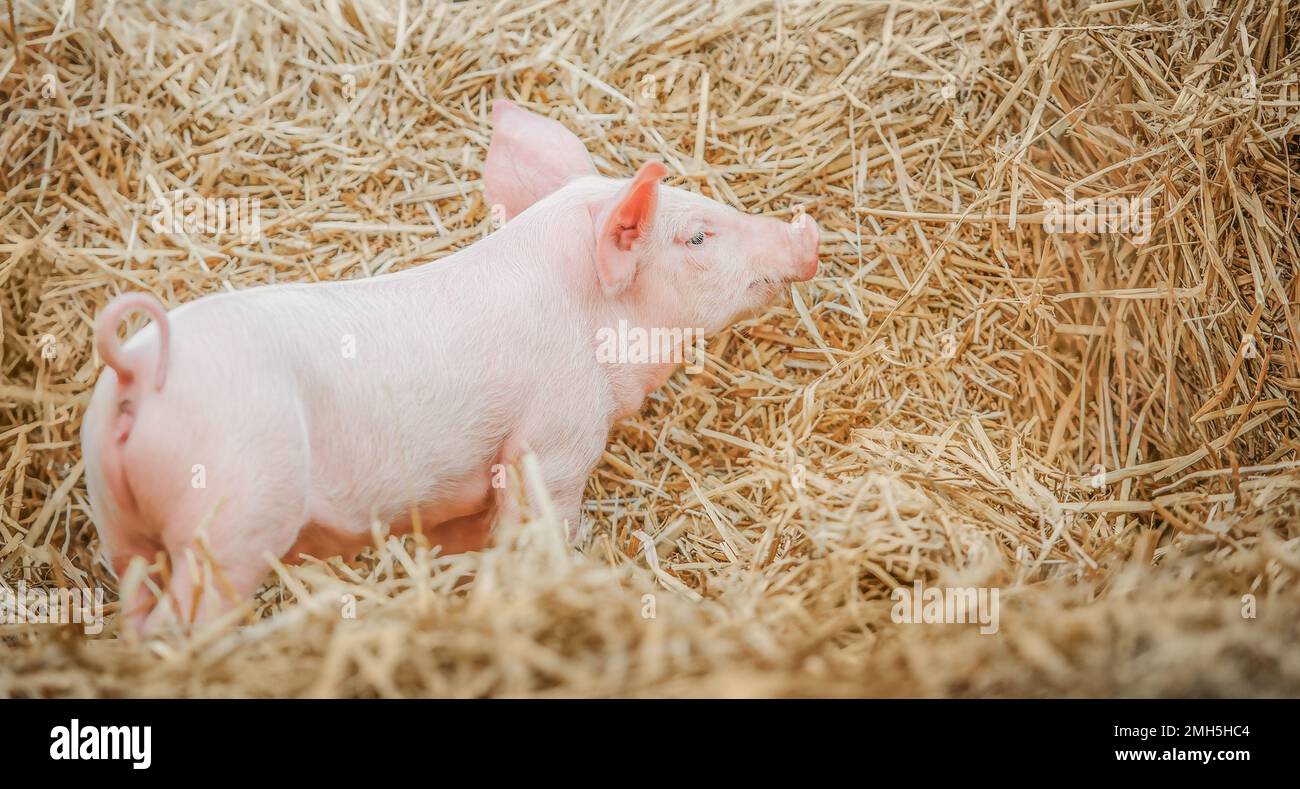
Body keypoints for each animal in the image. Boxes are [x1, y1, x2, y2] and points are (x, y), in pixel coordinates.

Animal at [80, 99, 819, 632]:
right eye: (697, 236)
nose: (805, 230)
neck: (587, 315)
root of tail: (137, 372)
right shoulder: (556, 440)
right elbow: (540, 522)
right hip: (230, 511)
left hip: (121, 524)